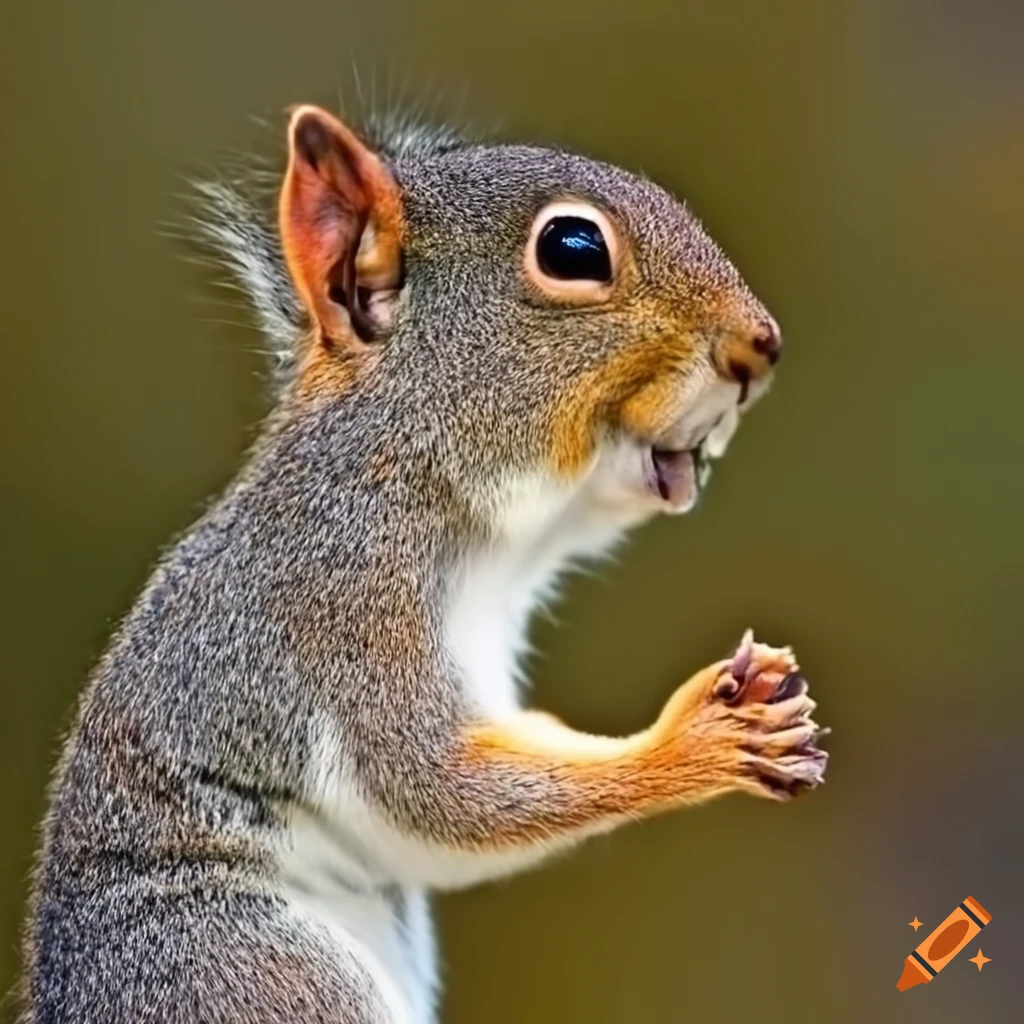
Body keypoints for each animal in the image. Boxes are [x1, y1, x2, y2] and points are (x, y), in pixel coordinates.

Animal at [20, 103, 828, 1024]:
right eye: (573, 250)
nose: (759, 345)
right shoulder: (345, 600)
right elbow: (434, 789)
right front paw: (698, 738)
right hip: (251, 973)